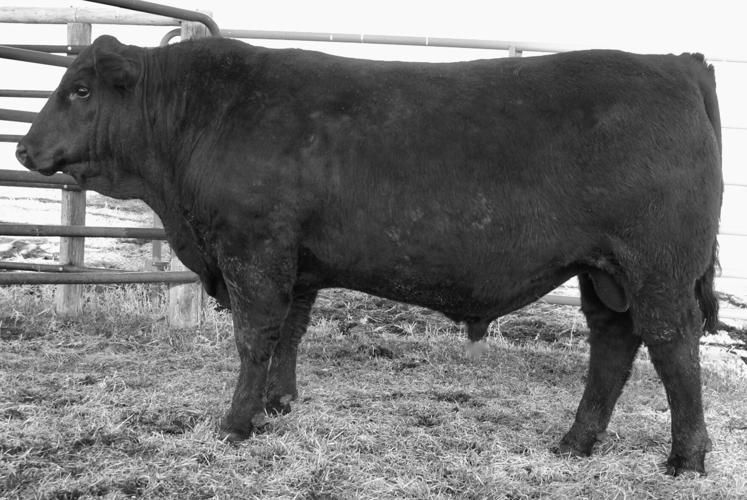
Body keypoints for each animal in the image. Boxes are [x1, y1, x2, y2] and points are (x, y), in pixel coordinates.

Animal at [15, 35, 722, 475]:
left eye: (81, 89)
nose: (23, 149)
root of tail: (679, 65)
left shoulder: (253, 250)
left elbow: (254, 335)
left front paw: (236, 423)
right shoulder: (296, 261)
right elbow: (290, 332)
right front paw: (279, 405)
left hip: (657, 267)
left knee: (672, 346)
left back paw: (685, 459)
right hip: (604, 272)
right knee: (614, 345)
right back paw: (576, 443)